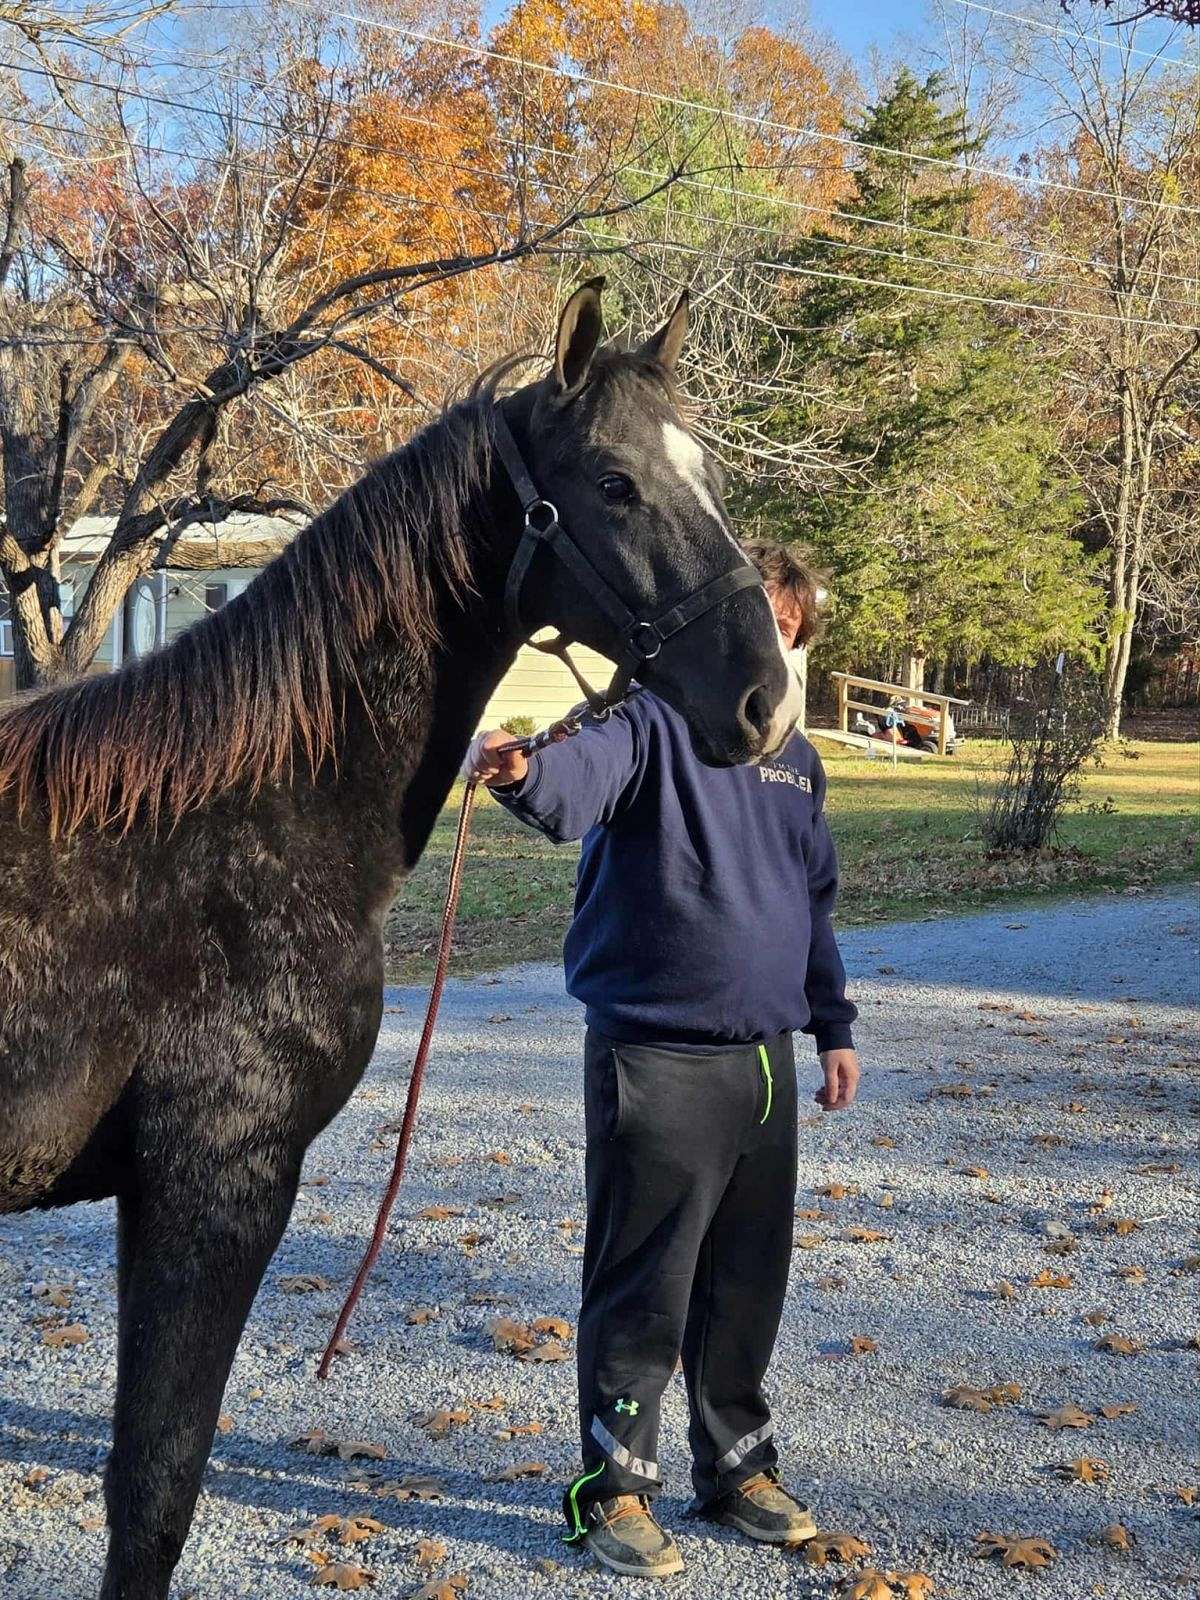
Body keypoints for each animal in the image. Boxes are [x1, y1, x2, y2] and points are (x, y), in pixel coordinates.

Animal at [0, 277, 802, 1599]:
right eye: (614, 482)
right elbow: (152, 1491)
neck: (231, 815)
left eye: (714, 476)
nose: (765, 700)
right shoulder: (214, 1183)